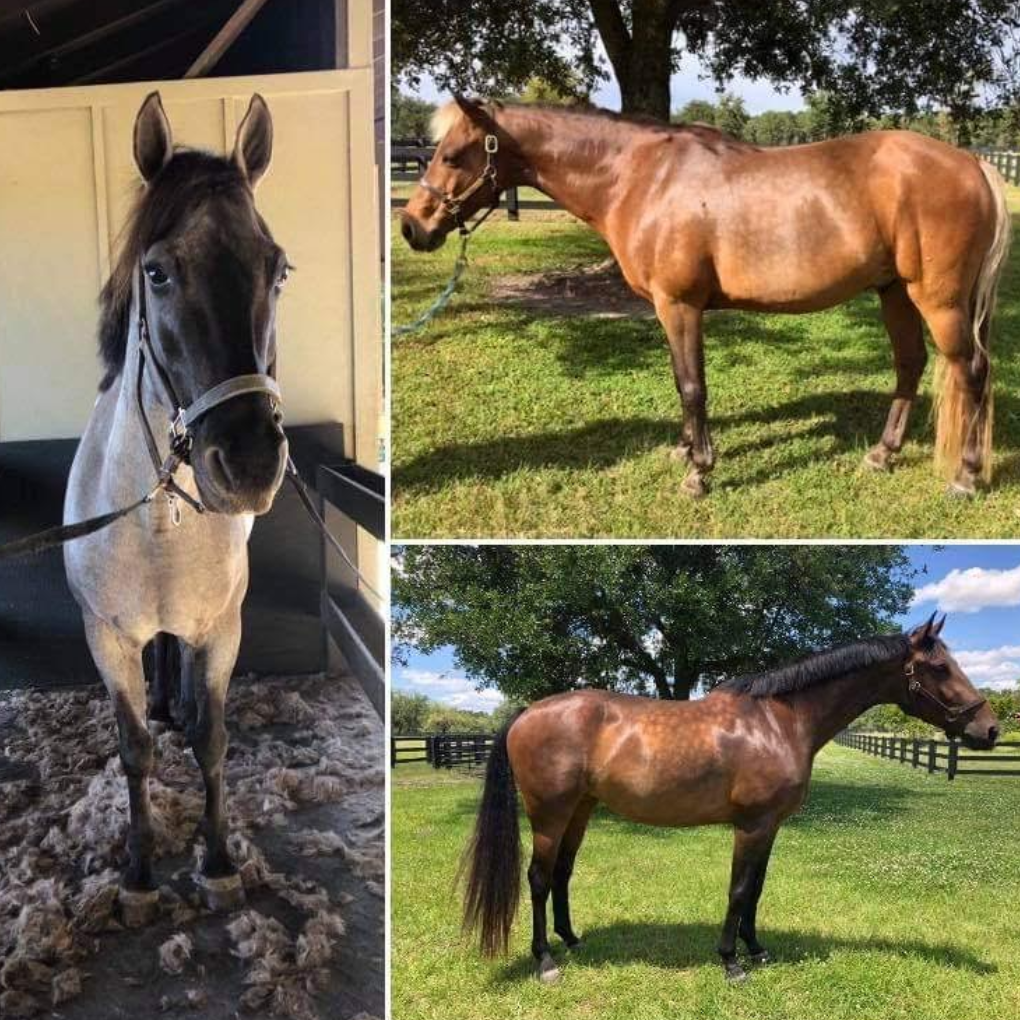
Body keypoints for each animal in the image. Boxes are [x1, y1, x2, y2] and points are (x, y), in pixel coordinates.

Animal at [63, 91, 290, 921]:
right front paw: (136, 876)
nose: (247, 464)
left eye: (278, 269)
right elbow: (134, 750)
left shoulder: (221, 633)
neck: (157, 523)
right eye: (157, 273)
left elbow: (213, 739)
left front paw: (219, 863)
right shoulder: (108, 641)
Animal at [400, 98, 1012, 499]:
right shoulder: (668, 308)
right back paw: (882, 455)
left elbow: (693, 386)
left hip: (939, 300)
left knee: (972, 372)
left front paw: (698, 472)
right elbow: (681, 382)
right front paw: (684, 450)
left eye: (452, 155)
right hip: (894, 293)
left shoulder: (680, 304)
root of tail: (972, 163)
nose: (412, 227)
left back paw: (965, 477)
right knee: (910, 364)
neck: (641, 177)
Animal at [461, 614, 998, 984]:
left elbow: (756, 889)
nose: (990, 728)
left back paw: (572, 940)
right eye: (940, 667)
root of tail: (526, 713)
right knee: (537, 878)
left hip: (581, 810)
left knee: (562, 874)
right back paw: (546, 961)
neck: (780, 721)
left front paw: (756, 949)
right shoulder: (752, 825)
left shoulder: (771, 825)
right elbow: (739, 890)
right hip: (549, 815)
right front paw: (731, 962)